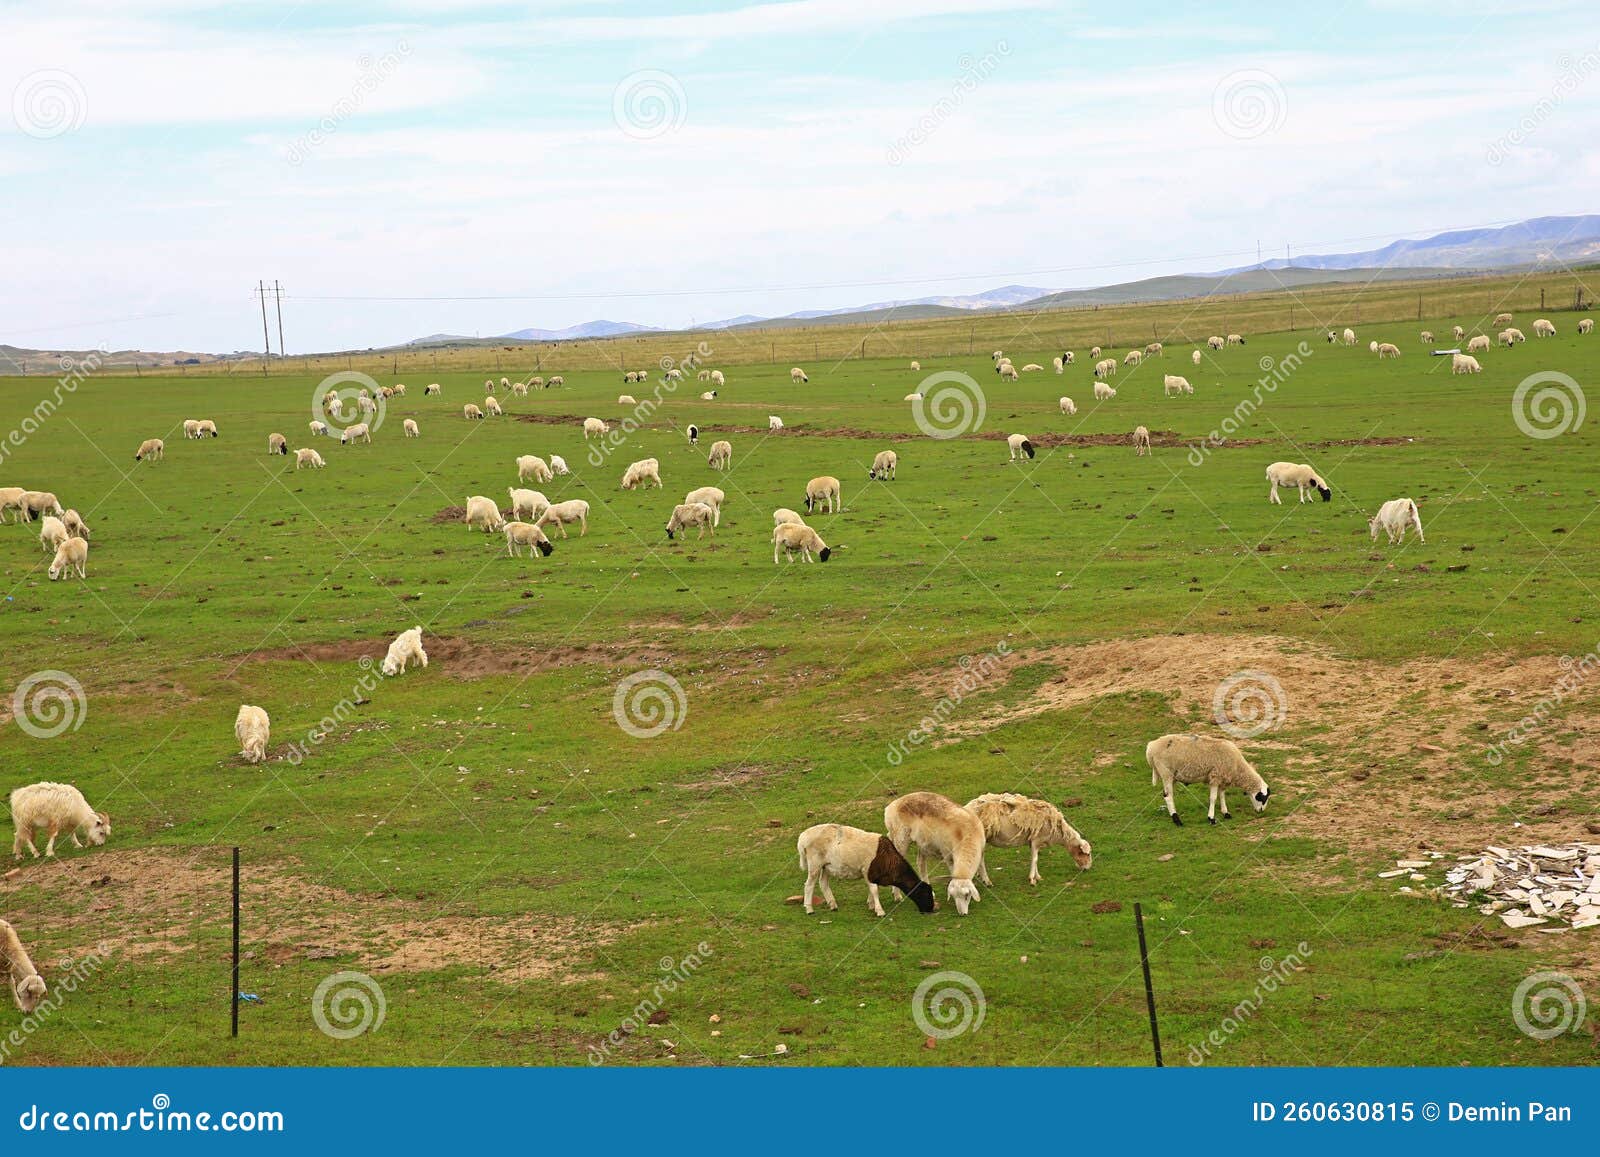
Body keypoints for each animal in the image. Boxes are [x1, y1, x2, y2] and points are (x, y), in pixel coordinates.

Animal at [797, 823, 936, 917]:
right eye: (925, 894)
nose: (930, 909)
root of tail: (802, 837)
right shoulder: (867, 871)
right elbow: (875, 890)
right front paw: (880, 911)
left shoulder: (874, 875)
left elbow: (872, 889)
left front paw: (871, 905)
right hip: (814, 863)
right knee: (809, 885)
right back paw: (809, 909)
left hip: (826, 866)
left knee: (823, 883)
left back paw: (833, 905)